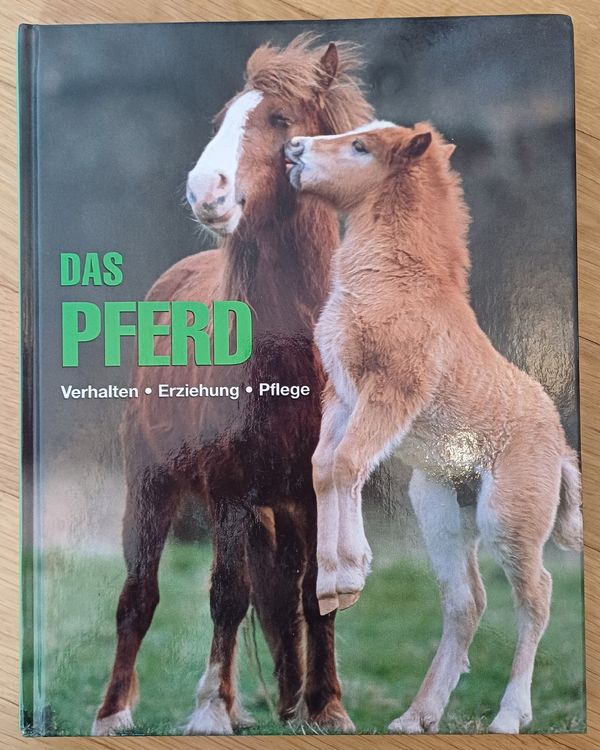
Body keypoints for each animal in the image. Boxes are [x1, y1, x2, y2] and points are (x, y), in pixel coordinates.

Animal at [92, 35, 373, 736]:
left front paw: (327, 708)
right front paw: (209, 710)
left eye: (280, 119)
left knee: (279, 595)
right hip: (152, 484)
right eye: (222, 120)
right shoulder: (231, 492)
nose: (205, 189)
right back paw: (113, 713)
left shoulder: (314, 493)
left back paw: (283, 700)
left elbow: (314, 597)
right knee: (140, 595)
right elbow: (226, 592)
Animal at [284, 121, 582, 733]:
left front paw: (349, 577)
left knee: (536, 595)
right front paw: (330, 585)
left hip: (507, 516)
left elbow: (347, 463)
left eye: (360, 147)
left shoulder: (391, 393)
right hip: (440, 509)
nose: (293, 149)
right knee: (466, 601)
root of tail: (561, 444)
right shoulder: (342, 397)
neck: (398, 282)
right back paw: (416, 716)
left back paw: (509, 715)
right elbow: (323, 467)